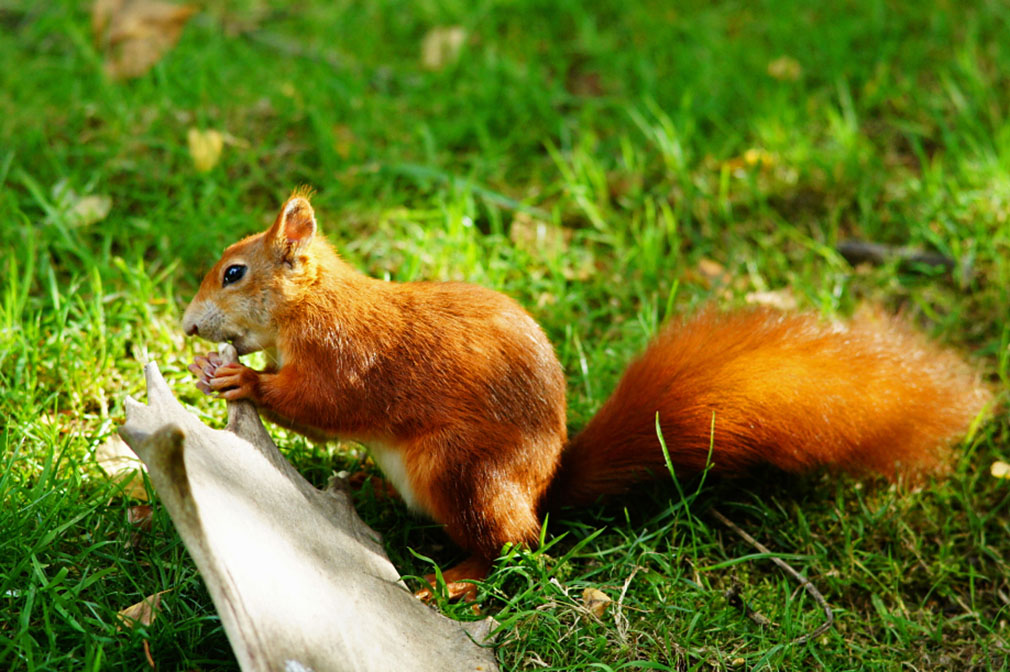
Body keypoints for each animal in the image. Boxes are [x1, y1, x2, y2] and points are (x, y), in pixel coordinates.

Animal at [182, 189, 993, 601]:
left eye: (233, 273)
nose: (188, 325)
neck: (314, 307)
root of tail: (545, 484)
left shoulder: (351, 361)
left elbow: (322, 409)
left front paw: (240, 379)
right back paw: (374, 493)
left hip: (463, 472)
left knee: (519, 546)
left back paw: (457, 579)